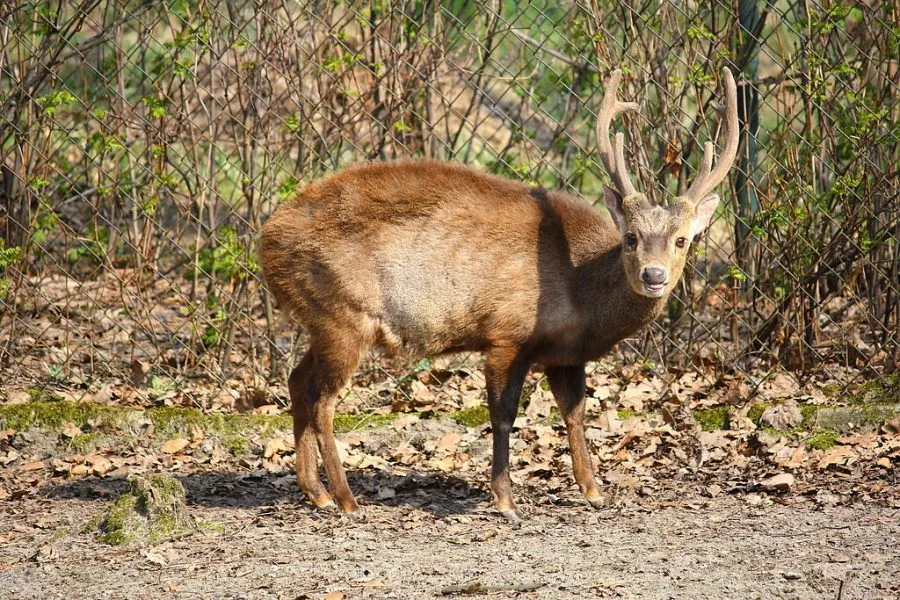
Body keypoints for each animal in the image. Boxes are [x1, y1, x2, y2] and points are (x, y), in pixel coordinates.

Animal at [260, 68, 739, 522]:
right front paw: (506, 500)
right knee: (323, 399)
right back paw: (346, 499)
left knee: (297, 381)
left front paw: (594, 491)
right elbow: (504, 413)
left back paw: (316, 493)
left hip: (321, 320)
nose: (653, 275)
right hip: (343, 313)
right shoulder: (507, 334)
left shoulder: (565, 354)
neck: (580, 294)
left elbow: (575, 411)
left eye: (682, 240)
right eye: (631, 237)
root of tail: (267, 239)